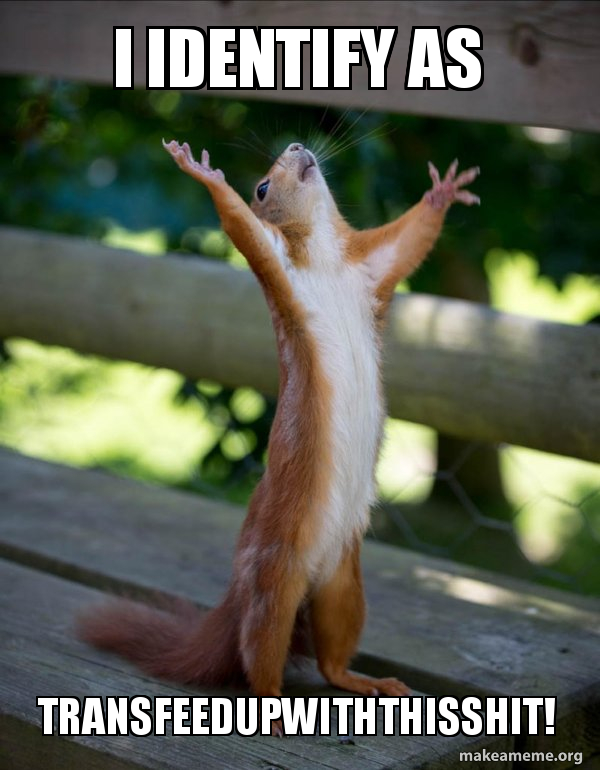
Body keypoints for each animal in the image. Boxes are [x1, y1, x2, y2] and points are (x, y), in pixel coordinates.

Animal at [78, 138, 479, 735]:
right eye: (262, 187)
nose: (296, 147)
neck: (327, 257)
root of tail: (239, 594)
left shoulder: (372, 267)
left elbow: (409, 241)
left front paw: (443, 192)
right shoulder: (277, 266)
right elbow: (241, 226)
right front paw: (204, 174)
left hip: (344, 585)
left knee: (332, 658)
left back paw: (365, 680)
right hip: (274, 582)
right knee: (258, 657)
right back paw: (275, 701)